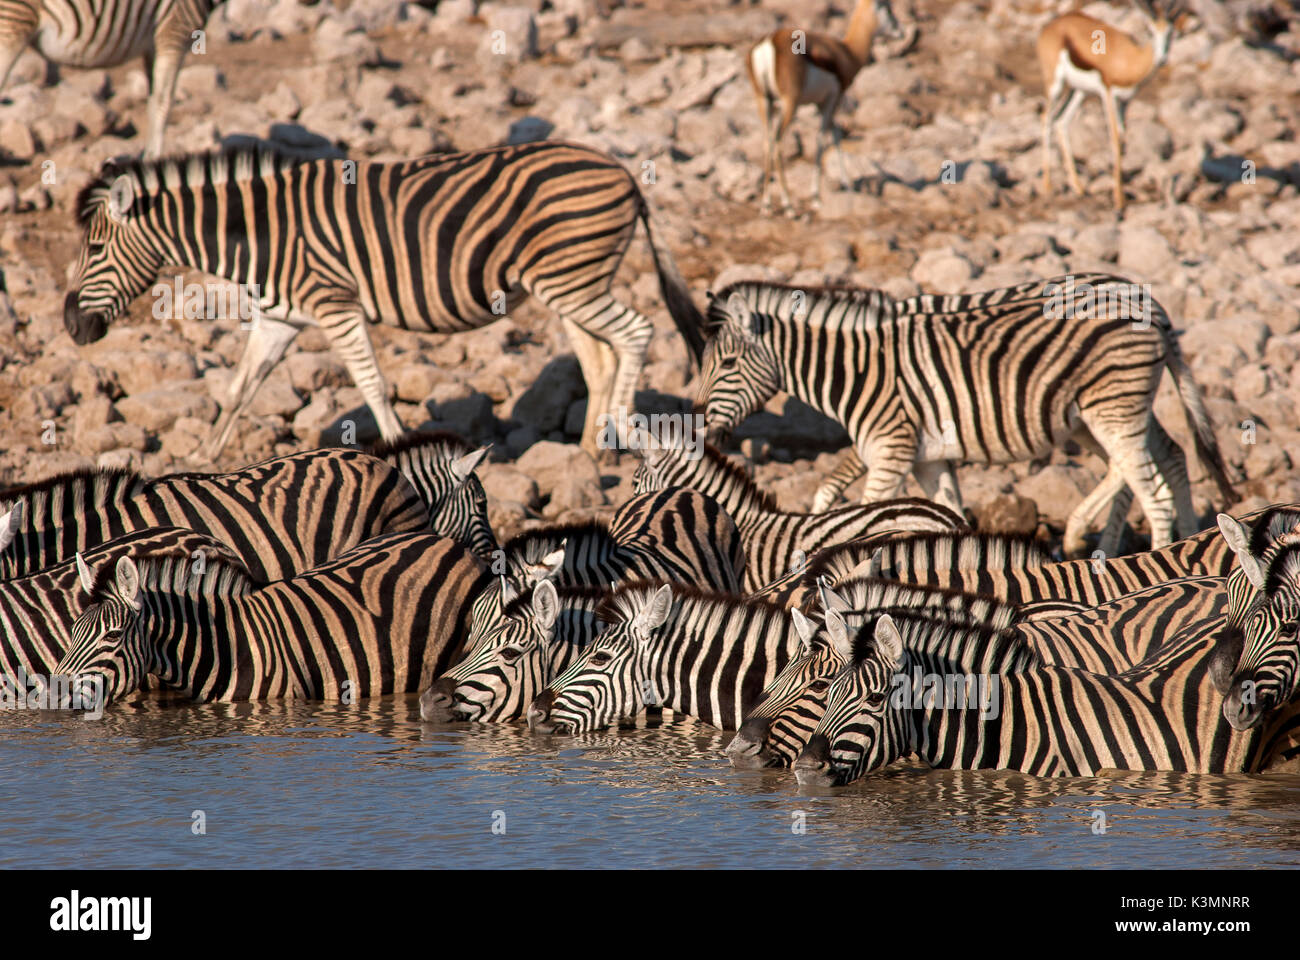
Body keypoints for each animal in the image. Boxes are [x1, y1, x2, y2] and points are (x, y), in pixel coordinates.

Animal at [0, 0, 224, 158]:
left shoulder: (153, 44)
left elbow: (152, 102)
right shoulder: (176, 28)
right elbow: (164, 103)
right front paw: (153, 161)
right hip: (14, 20)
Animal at [64, 141, 708, 461]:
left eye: (93, 249)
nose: (70, 327)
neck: (263, 232)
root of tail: (625, 173)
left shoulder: (335, 303)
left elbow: (372, 385)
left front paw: (400, 454)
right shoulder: (279, 316)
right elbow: (239, 389)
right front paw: (198, 461)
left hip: (572, 278)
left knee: (637, 333)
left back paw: (622, 432)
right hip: (568, 282)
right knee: (600, 357)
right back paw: (593, 455)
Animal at [695, 276, 1236, 557]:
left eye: (727, 364)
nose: (699, 424)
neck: (859, 369)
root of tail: (1151, 301)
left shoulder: (890, 448)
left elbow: (856, 505)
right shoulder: (926, 457)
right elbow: (945, 511)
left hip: (1111, 408)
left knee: (1143, 480)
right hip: (1102, 411)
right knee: (1164, 456)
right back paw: (1180, 537)